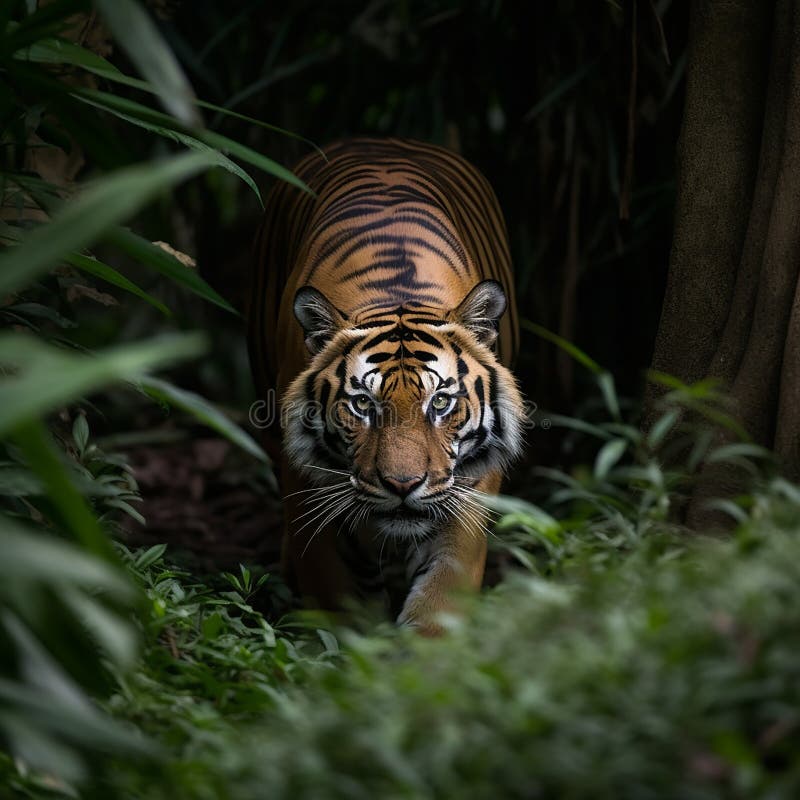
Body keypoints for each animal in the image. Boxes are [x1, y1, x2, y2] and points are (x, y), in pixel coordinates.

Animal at [246, 138, 526, 634]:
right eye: (362, 404)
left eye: (441, 402)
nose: (402, 485)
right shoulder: (307, 486)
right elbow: (338, 597)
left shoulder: (469, 488)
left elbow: (440, 596)